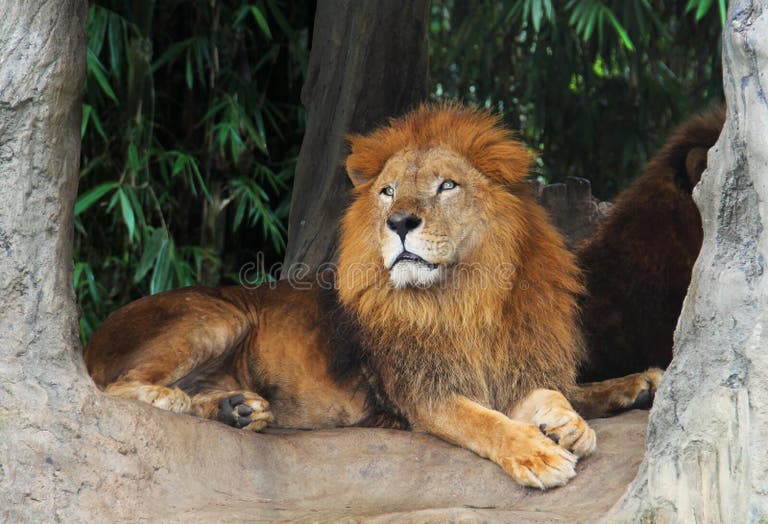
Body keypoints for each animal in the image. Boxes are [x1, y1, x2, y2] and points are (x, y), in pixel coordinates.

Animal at [85, 105, 660, 489]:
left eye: (447, 186)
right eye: (387, 191)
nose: (399, 222)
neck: (467, 299)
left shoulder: (518, 366)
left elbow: (560, 392)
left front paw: (572, 421)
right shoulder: (425, 395)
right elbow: (485, 422)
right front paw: (537, 454)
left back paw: (235, 408)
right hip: (217, 316)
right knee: (113, 386)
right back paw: (177, 399)